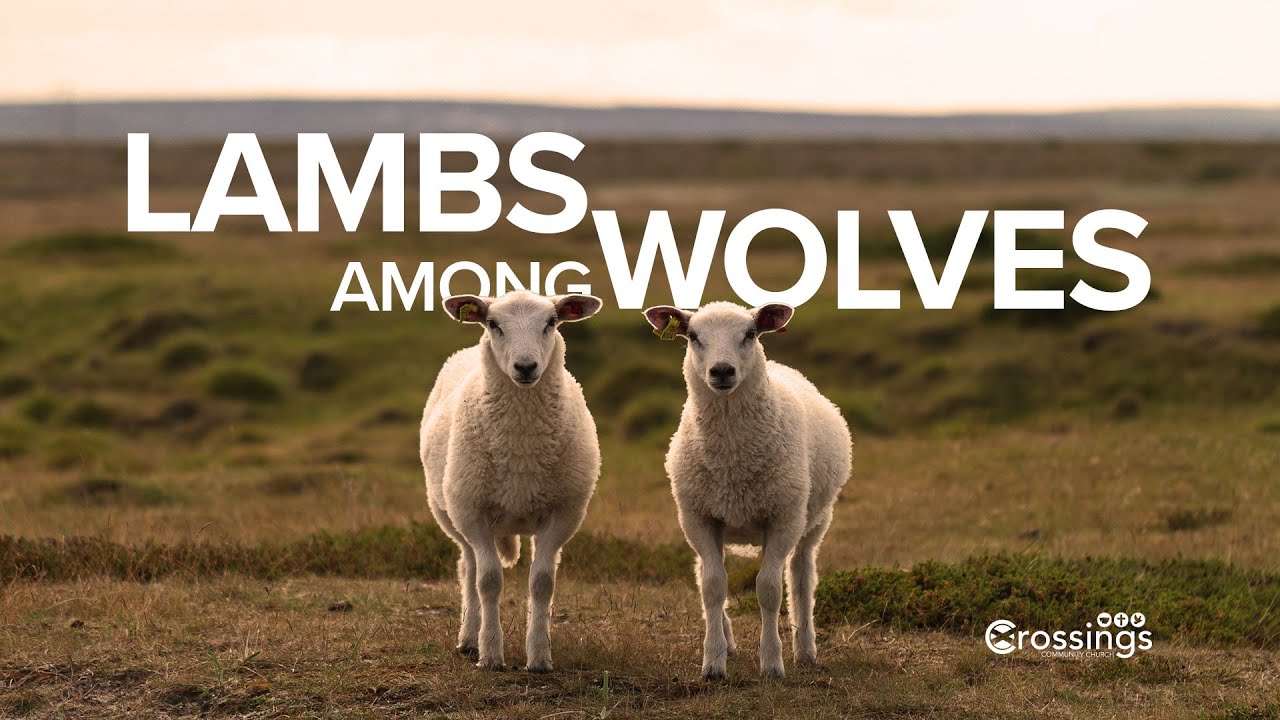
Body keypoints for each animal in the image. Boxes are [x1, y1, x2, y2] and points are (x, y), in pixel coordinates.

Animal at [421, 290, 603, 672]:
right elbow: (488, 582)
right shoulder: (474, 513)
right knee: (469, 568)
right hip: (453, 513)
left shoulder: (562, 514)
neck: (521, 448)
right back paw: (469, 638)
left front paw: (539, 656)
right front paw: (490, 653)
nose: (525, 367)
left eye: (551, 322)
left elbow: (542, 583)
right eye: (493, 324)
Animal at [643, 301, 852, 680]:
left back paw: (805, 649)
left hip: (814, 520)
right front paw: (713, 662)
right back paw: (728, 640)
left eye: (750, 334)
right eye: (693, 336)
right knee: (704, 572)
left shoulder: (783, 519)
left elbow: (769, 590)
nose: (722, 371)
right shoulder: (699, 518)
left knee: (801, 577)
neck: (733, 459)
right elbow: (713, 586)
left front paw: (771, 663)